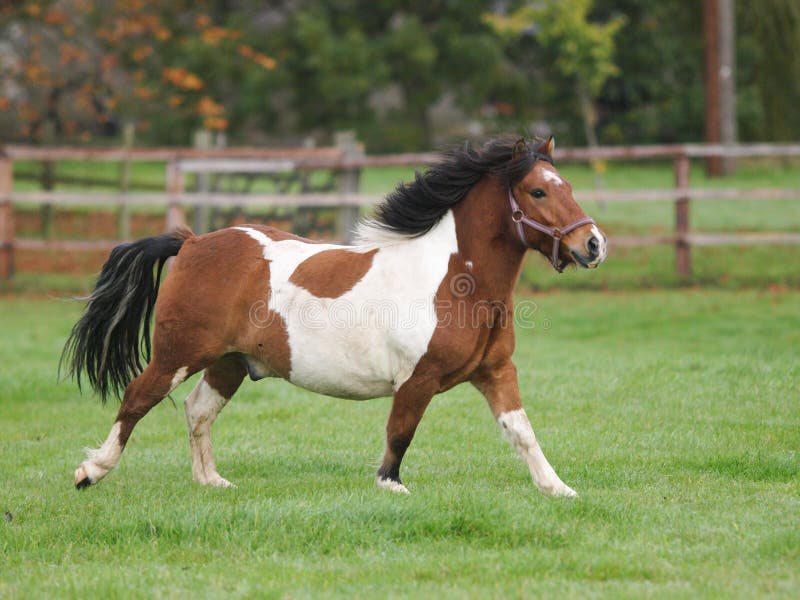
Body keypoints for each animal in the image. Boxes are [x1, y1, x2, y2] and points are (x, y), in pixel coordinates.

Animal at [62, 135, 607, 497]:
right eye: (538, 192)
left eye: (567, 186)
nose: (593, 244)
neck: (454, 280)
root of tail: (194, 241)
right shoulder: (418, 379)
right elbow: (400, 433)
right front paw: (390, 486)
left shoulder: (495, 372)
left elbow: (521, 430)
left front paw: (558, 489)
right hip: (179, 353)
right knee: (138, 397)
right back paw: (91, 472)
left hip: (228, 362)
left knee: (198, 411)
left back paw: (211, 481)